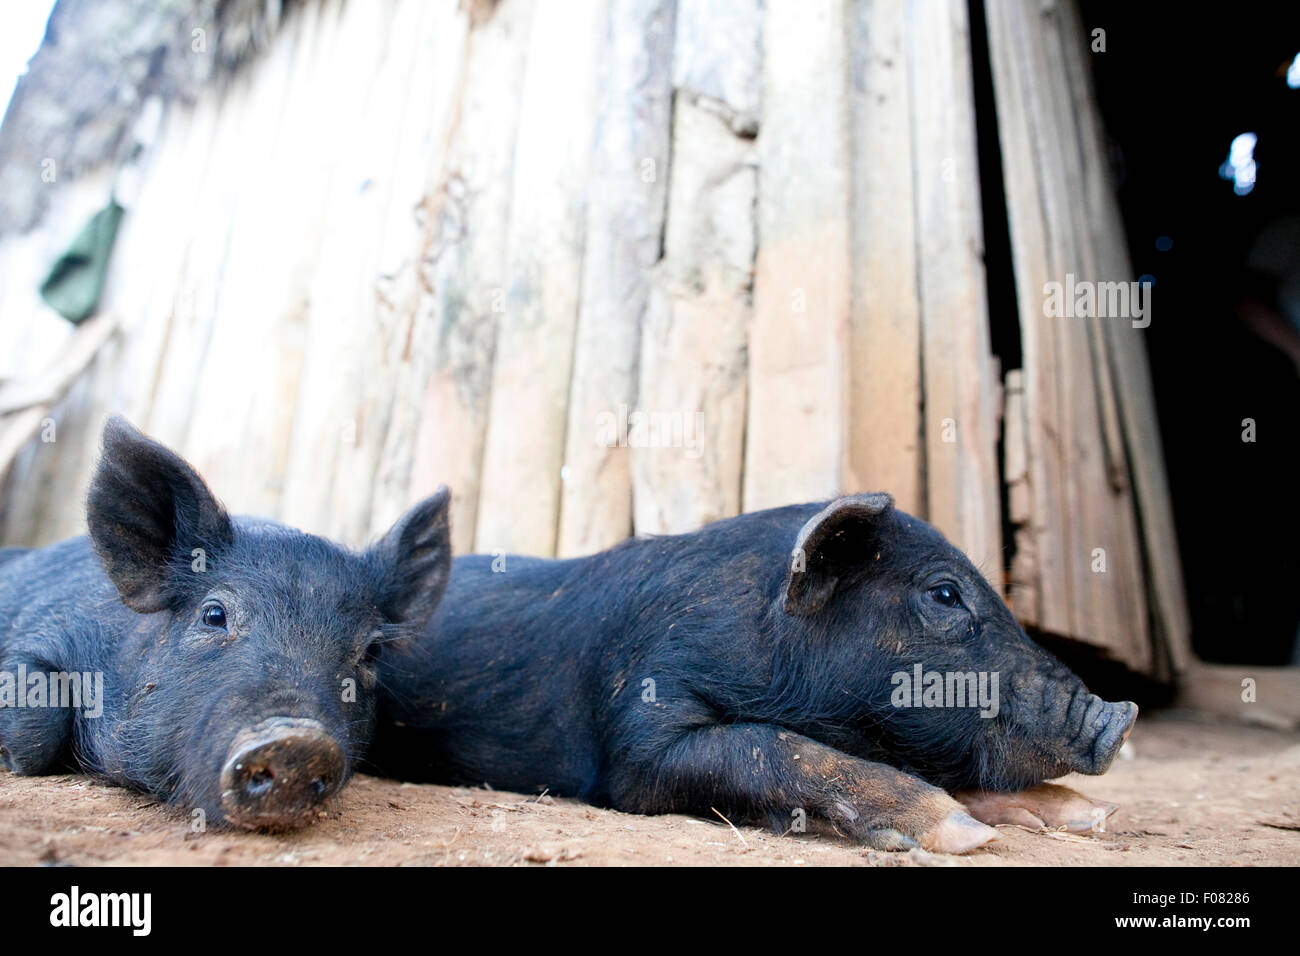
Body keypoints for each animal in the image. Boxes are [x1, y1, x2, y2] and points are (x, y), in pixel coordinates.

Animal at [369, 493, 1137, 853]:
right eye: (945, 595)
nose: (1119, 714)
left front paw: (1090, 816)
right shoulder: (642, 728)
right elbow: (770, 747)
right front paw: (964, 836)